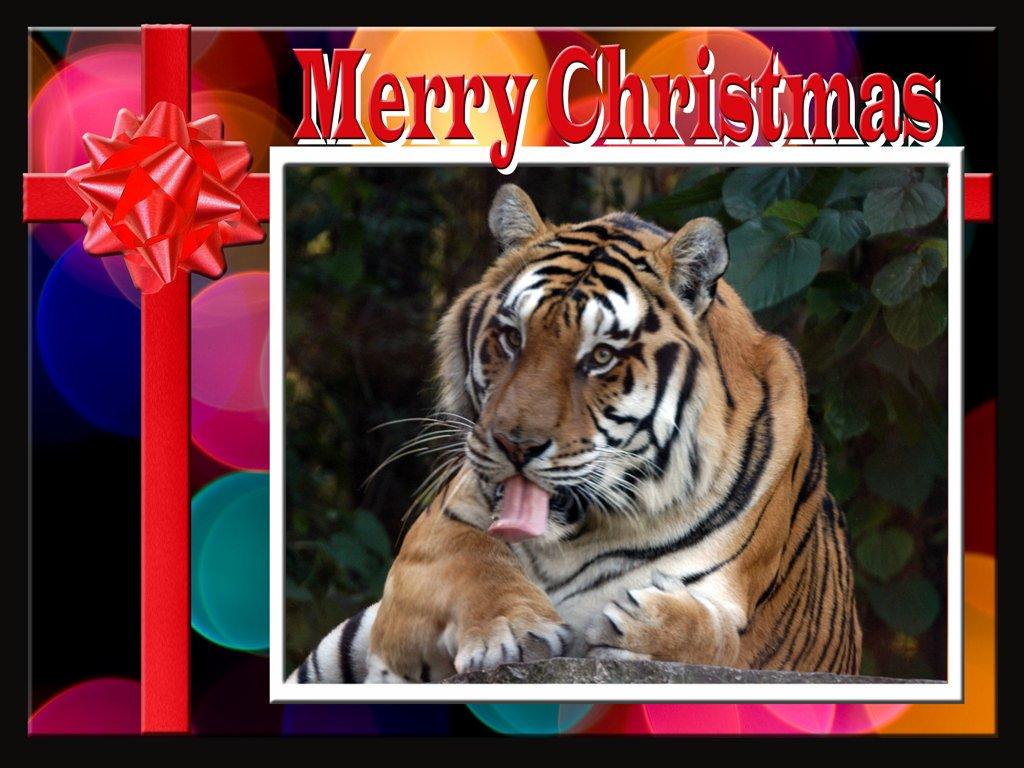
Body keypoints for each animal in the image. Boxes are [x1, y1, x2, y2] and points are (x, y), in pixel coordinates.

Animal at [288, 183, 862, 684]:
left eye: (601, 356)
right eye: (512, 337)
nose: (516, 446)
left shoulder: (746, 626)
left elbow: (722, 639)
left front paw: (643, 626)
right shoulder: (437, 530)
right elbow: (474, 562)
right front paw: (516, 629)